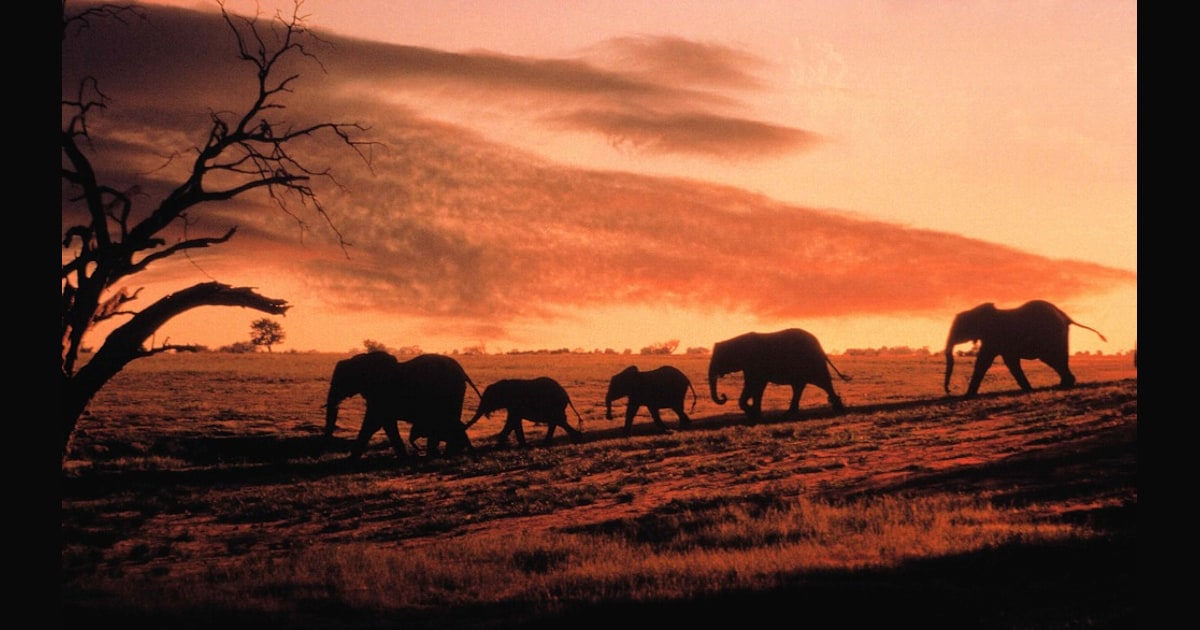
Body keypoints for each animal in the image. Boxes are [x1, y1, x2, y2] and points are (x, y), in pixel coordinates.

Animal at [323, 351, 481, 460]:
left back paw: (440, 454)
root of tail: (463, 372)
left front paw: (350, 460)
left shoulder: (381, 394)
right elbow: (383, 423)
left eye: (341, 380)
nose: (327, 445)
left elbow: (374, 423)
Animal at [709, 328, 848, 420]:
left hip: (813, 362)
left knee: (823, 383)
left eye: (718, 360)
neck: (735, 341)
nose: (723, 396)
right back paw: (789, 413)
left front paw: (752, 413)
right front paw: (754, 414)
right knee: (799, 386)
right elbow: (755, 387)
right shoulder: (750, 366)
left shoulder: (756, 364)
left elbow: (753, 384)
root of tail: (820, 346)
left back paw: (839, 409)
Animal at [943, 300, 1107, 397]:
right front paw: (1028, 389)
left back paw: (1065, 384)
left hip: (1051, 334)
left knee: (1052, 358)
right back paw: (1064, 384)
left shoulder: (993, 337)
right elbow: (1009, 362)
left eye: (959, 329)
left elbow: (985, 362)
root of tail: (1066, 317)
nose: (949, 391)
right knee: (1056, 359)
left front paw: (968, 396)